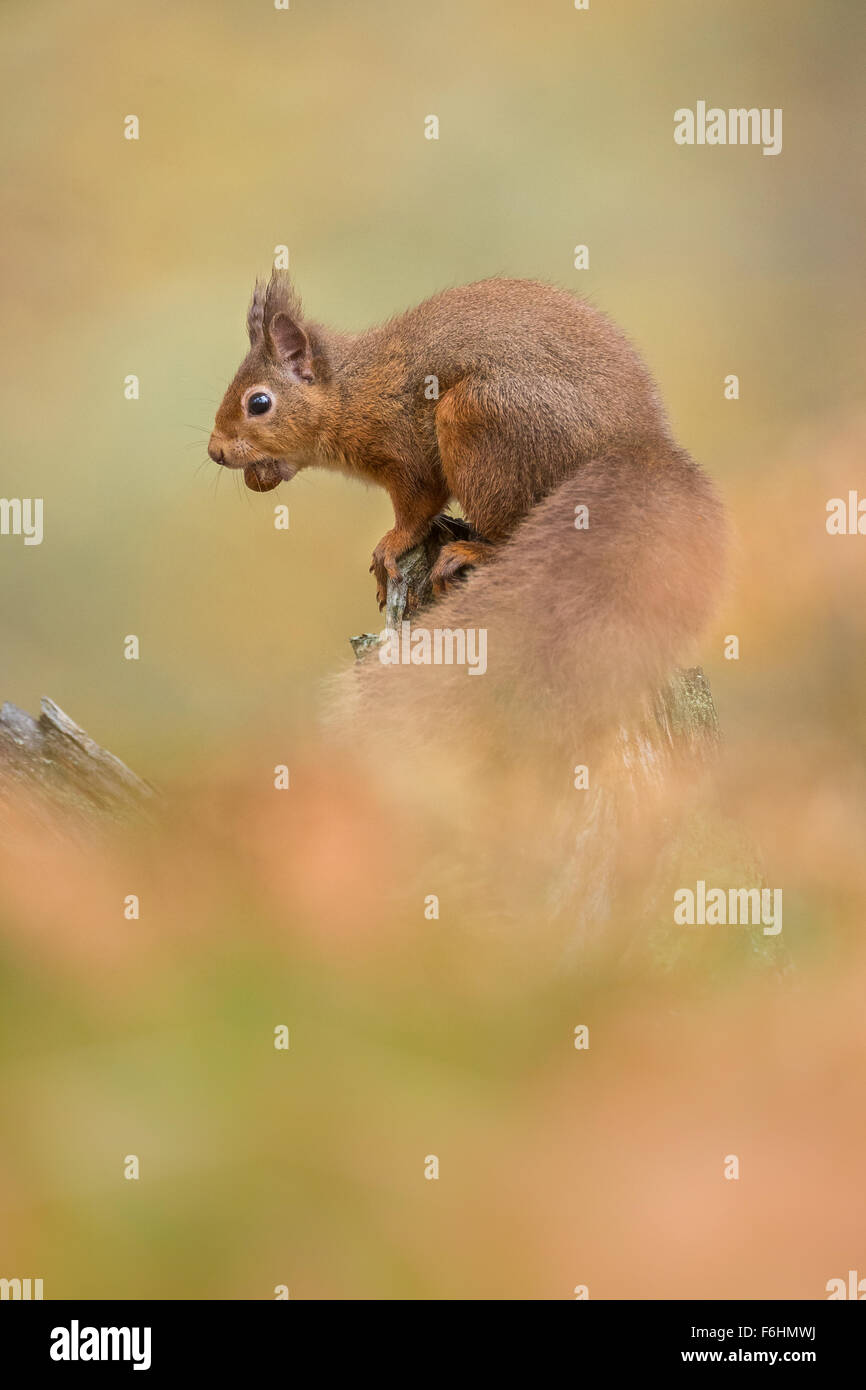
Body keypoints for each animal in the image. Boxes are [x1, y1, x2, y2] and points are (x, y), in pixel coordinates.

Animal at [209, 272, 728, 747]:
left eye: (259, 403)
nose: (215, 452)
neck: (353, 393)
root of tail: (637, 442)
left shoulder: (406, 452)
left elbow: (416, 507)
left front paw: (390, 547)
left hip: (479, 421)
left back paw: (473, 552)